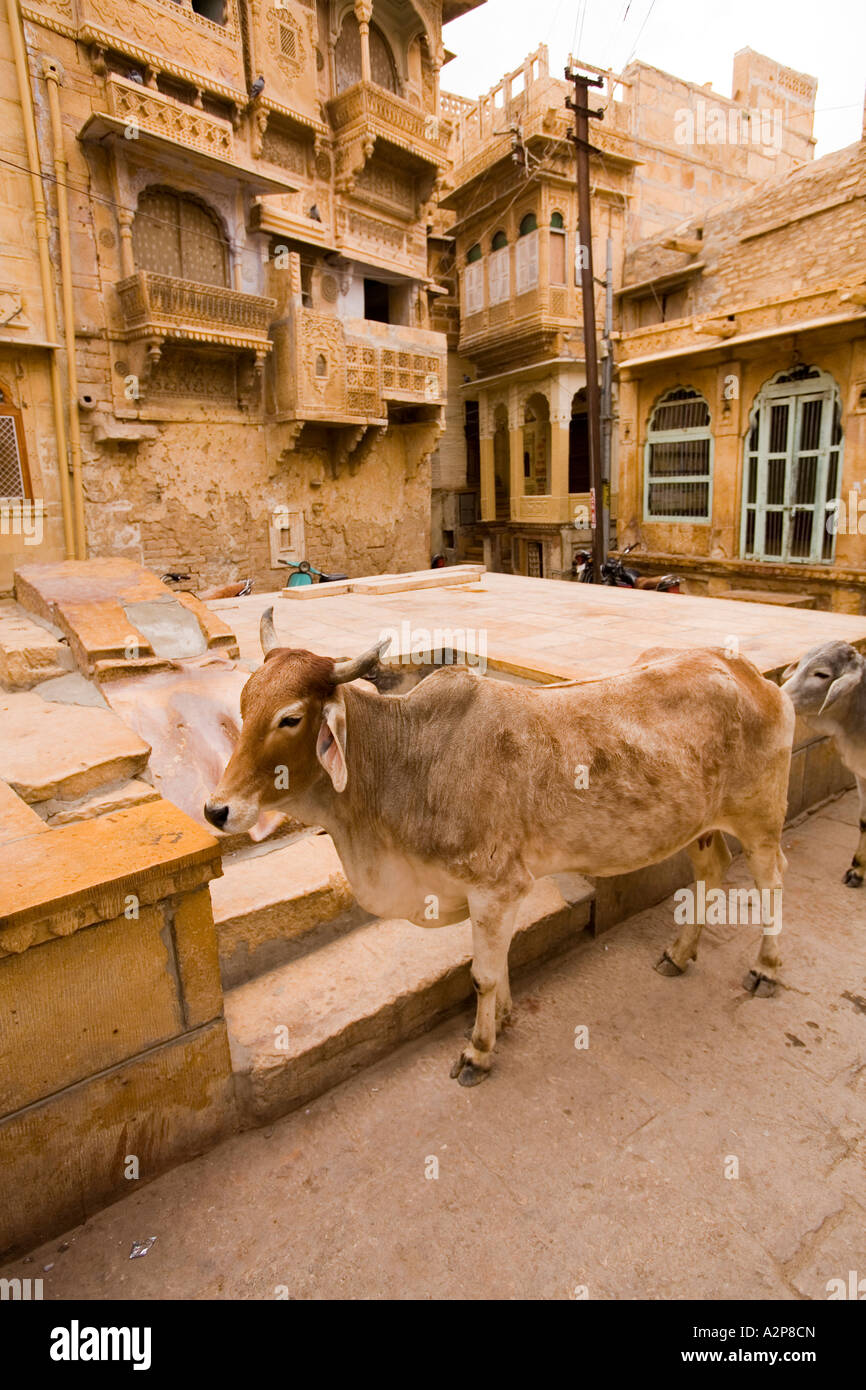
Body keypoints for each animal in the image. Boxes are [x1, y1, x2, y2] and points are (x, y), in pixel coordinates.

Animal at [205, 610, 795, 1085]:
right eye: (244, 705)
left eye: (290, 718)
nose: (217, 810)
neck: (408, 762)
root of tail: (750, 674)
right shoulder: (489, 892)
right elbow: (497, 961)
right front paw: (505, 1020)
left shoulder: (495, 887)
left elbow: (482, 974)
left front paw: (479, 1051)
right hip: (699, 825)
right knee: (712, 868)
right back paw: (679, 952)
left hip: (761, 818)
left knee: (771, 881)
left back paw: (766, 969)